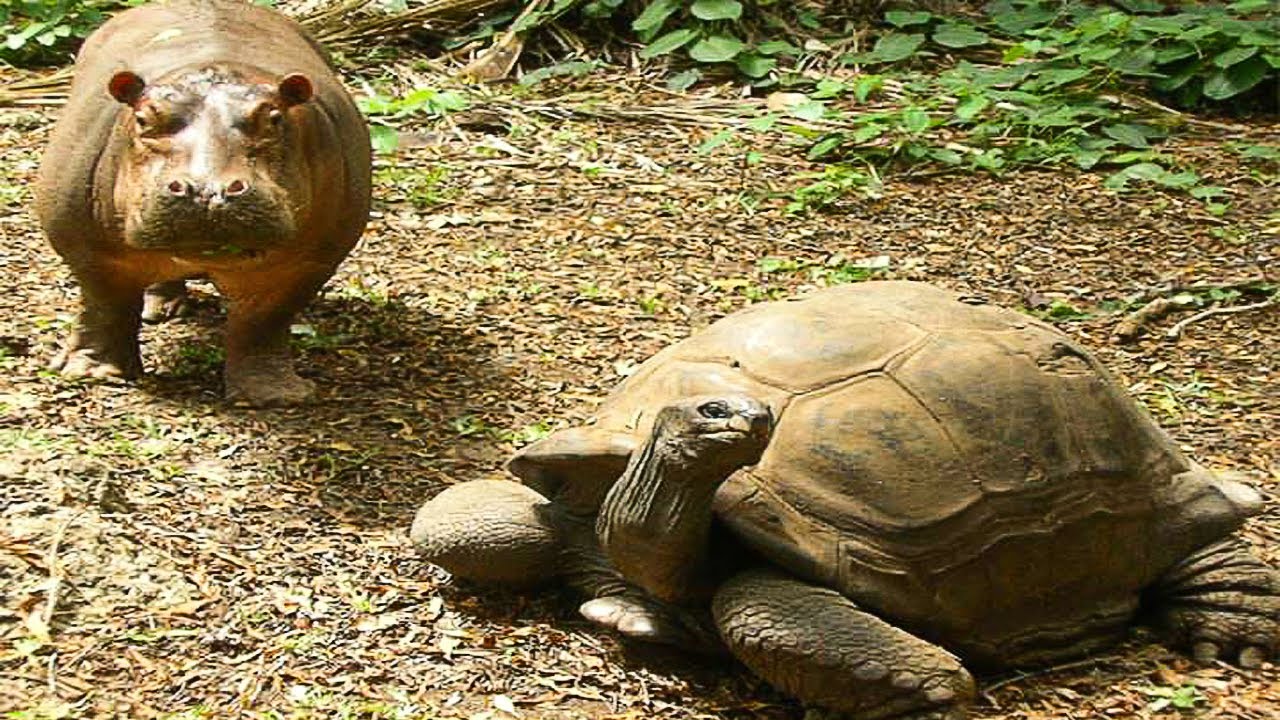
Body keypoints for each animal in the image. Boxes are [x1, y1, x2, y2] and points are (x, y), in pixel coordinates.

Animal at [35, 0, 372, 406]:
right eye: (143, 118)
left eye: (274, 118)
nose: (208, 191)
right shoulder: (87, 248)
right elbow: (104, 302)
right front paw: (91, 373)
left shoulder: (306, 262)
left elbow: (264, 320)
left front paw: (274, 395)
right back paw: (160, 312)